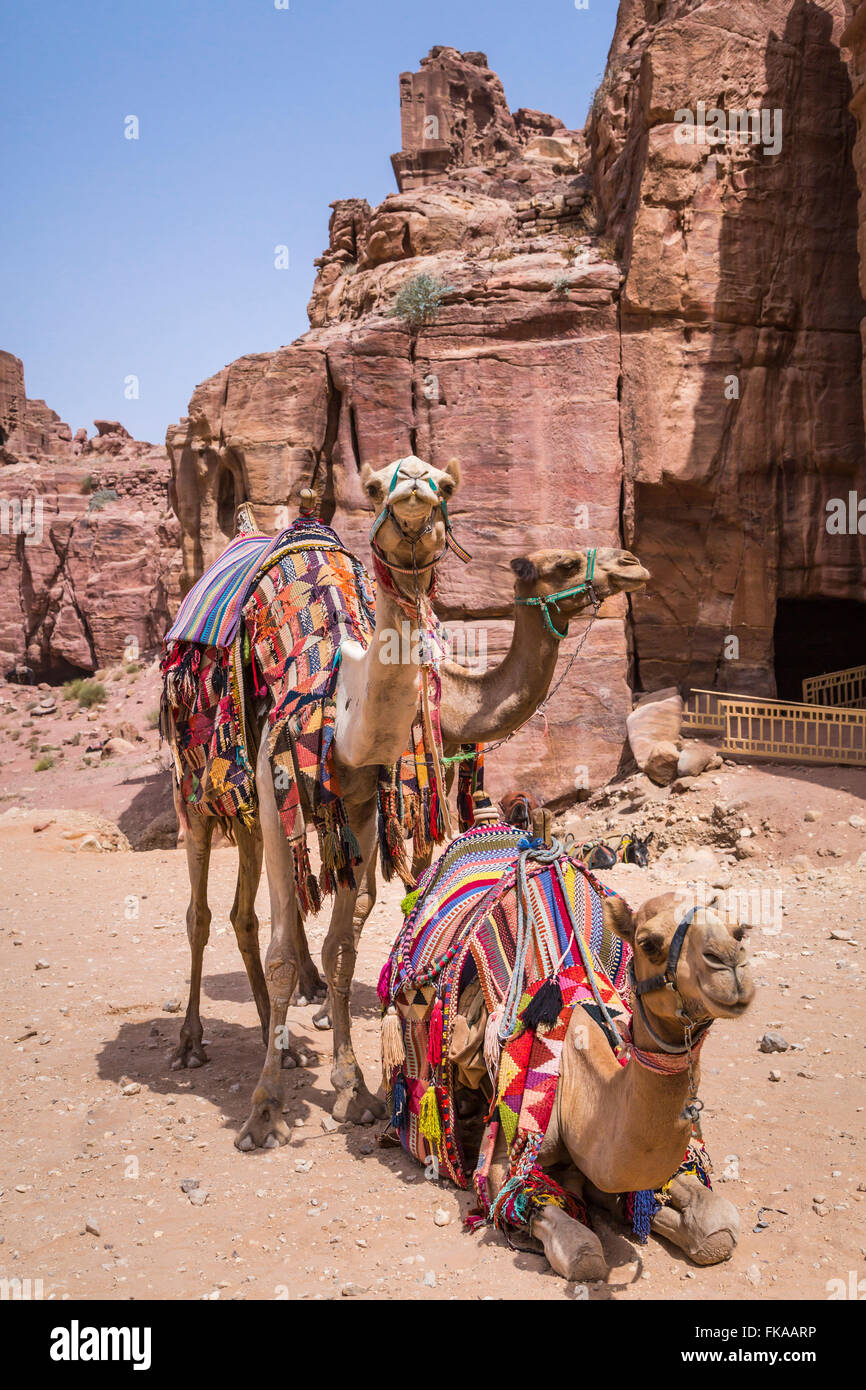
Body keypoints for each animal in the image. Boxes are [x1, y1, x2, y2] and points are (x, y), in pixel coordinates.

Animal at [452, 889, 755, 1280]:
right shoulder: (504, 1160)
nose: (730, 963)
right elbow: (583, 1253)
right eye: (648, 943)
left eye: (739, 932)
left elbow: (718, 1227)